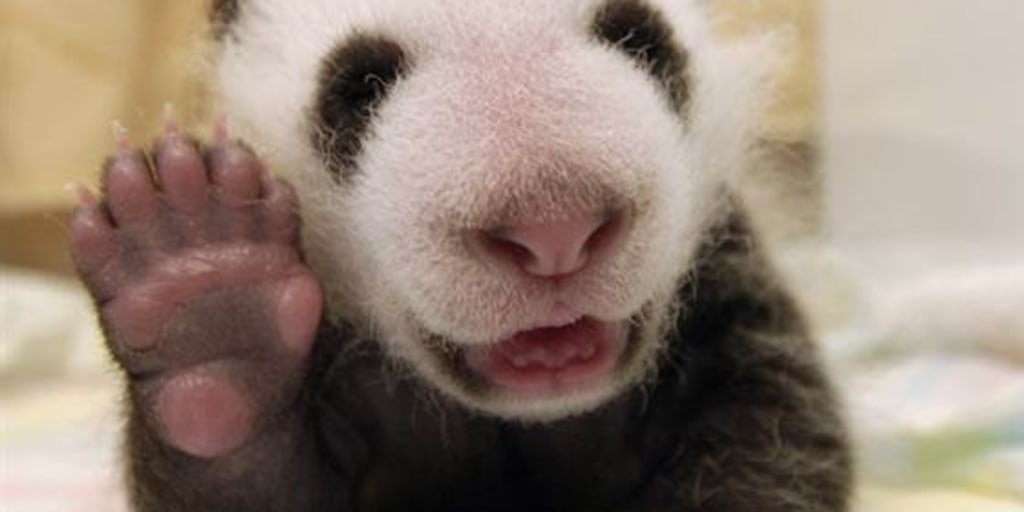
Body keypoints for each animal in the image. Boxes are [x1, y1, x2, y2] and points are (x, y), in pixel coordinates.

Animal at [68, 0, 852, 510]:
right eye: (360, 85)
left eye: (639, 38)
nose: (554, 227)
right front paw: (208, 296)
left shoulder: (726, 281)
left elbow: (778, 441)